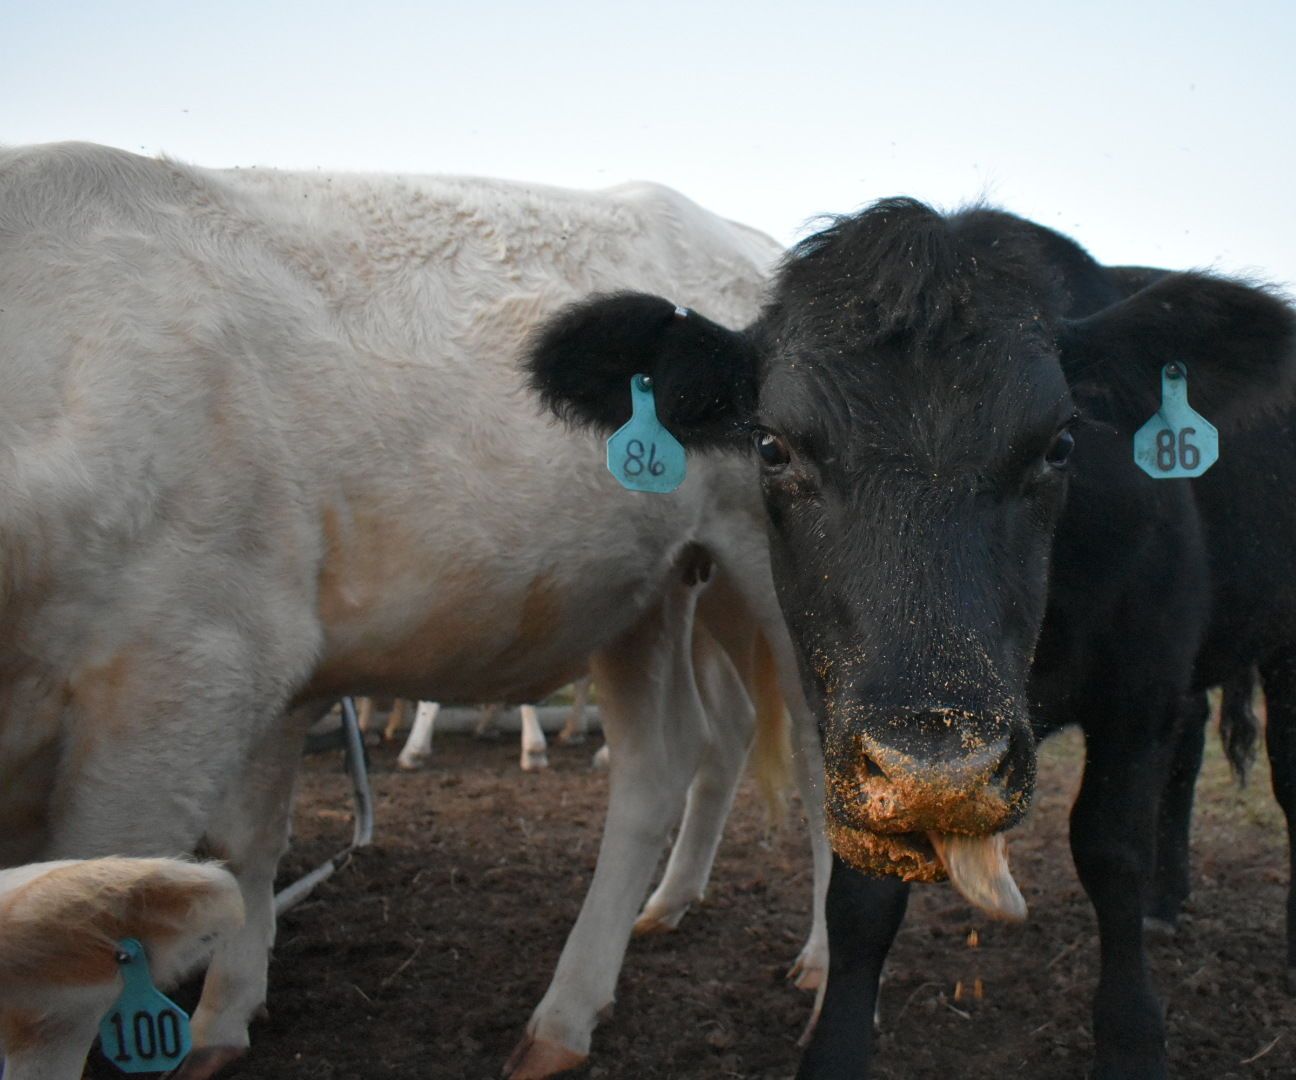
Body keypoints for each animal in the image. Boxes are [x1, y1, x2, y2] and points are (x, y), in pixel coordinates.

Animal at [526, 196, 1296, 1078]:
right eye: (771, 446)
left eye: (1061, 443)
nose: (943, 765)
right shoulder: (846, 718)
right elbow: (861, 891)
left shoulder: (1140, 686)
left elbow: (1110, 852)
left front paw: (1133, 1039)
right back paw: (1169, 903)